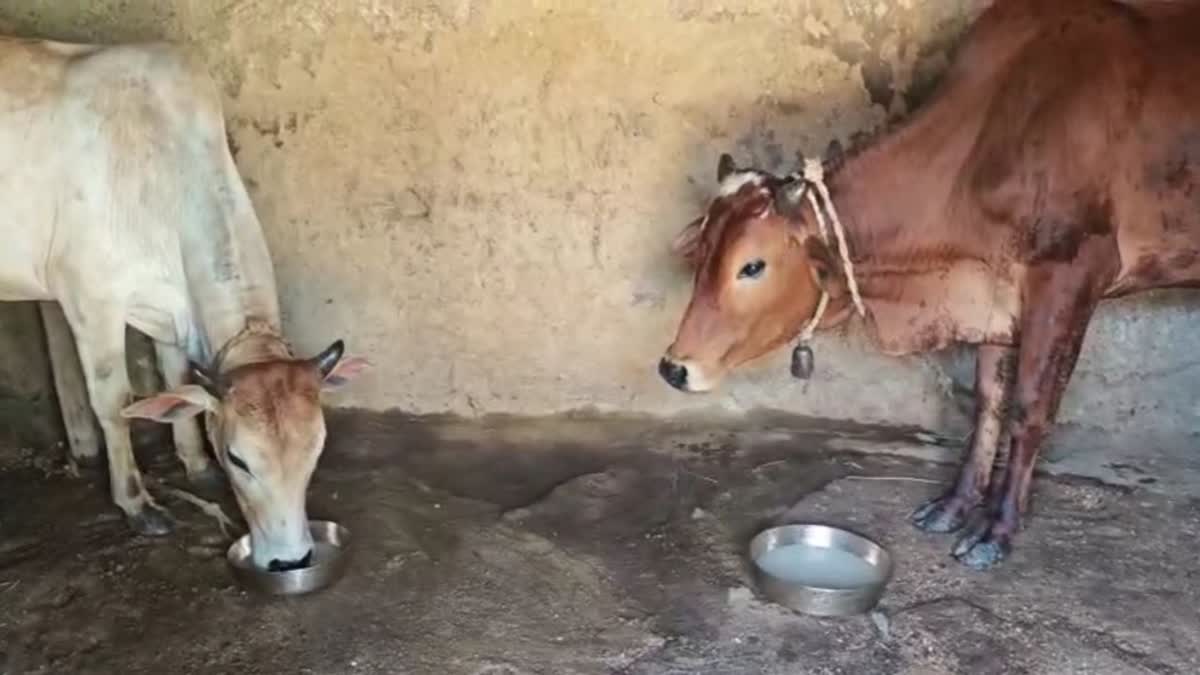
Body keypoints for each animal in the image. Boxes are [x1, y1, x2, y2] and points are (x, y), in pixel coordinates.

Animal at [0, 36, 367, 571]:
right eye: (238, 458)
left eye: (317, 446)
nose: (290, 561)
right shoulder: (92, 298)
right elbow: (115, 401)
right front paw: (137, 503)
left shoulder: (169, 312)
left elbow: (175, 382)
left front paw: (194, 463)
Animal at [659, 0, 1200, 569]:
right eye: (704, 250)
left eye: (752, 266)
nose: (675, 367)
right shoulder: (993, 288)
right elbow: (987, 400)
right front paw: (954, 506)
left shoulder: (1072, 271)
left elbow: (1029, 406)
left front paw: (996, 530)